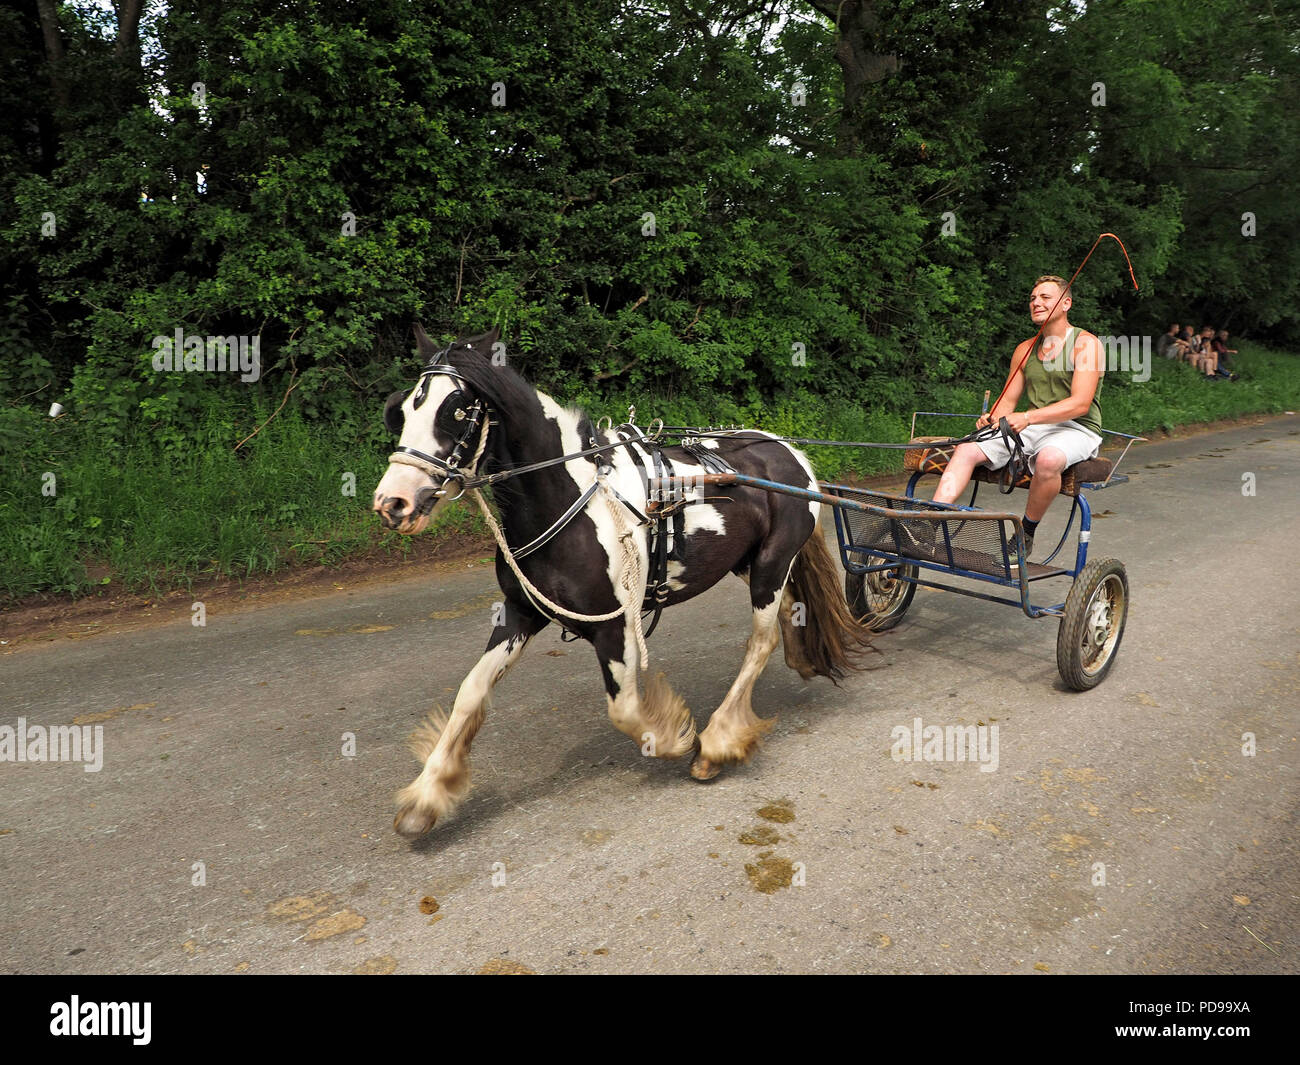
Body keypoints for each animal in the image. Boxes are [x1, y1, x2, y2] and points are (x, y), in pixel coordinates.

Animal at [373, 325, 873, 839]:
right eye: (403, 409)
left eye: (455, 411)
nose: (393, 502)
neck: (568, 499)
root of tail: (788, 453)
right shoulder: (520, 612)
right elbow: (470, 693)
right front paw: (428, 793)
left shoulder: (615, 625)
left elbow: (625, 708)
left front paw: (676, 738)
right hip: (751, 563)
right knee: (791, 607)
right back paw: (800, 657)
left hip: (771, 565)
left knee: (761, 641)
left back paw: (718, 742)